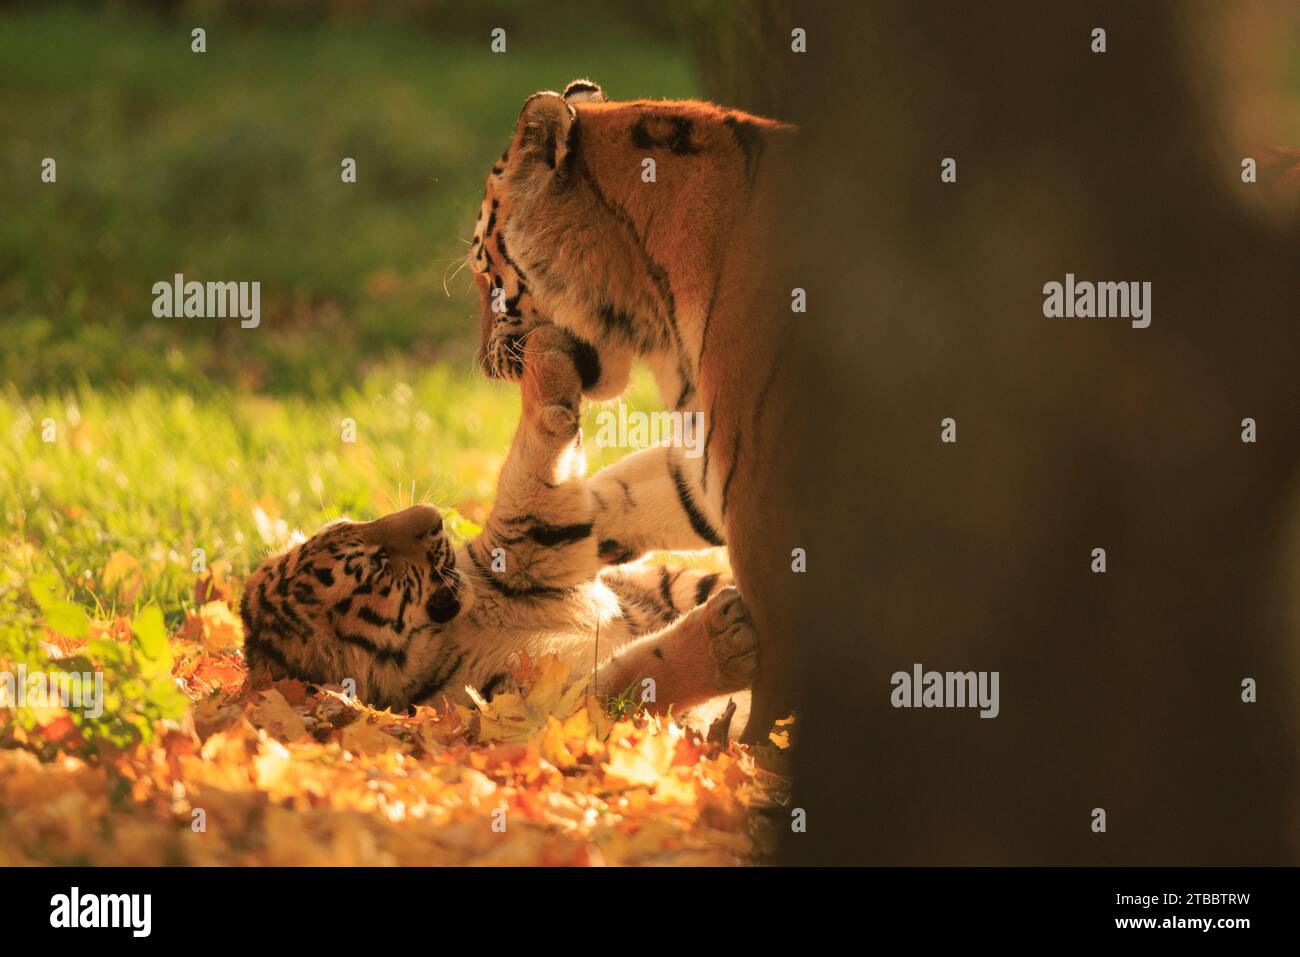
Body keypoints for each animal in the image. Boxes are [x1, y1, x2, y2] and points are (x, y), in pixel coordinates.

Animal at [240, 325, 757, 714]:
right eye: (376, 566)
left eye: (352, 522)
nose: (433, 518)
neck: (462, 622)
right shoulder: (531, 703)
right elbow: (633, 678)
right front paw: (725, 641)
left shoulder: (526, 548)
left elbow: (532, 474)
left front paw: (547, 352)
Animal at [469, 79, 799, 737]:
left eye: (485, 271)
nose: (488, 364)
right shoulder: (707, 461)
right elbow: (624, 491)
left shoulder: (761, 501)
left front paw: (759, 752)